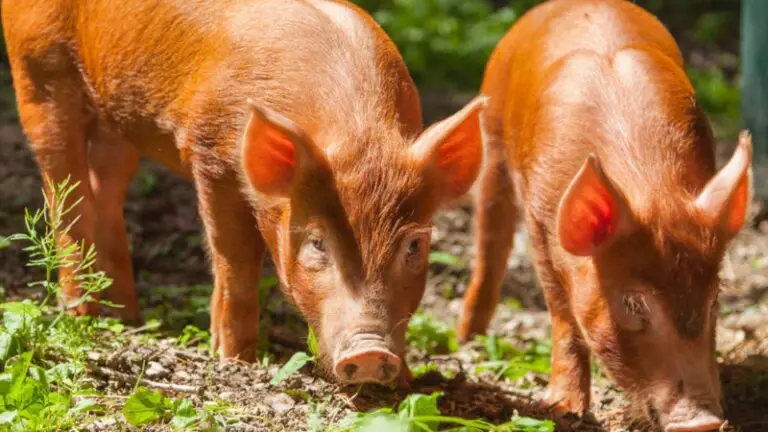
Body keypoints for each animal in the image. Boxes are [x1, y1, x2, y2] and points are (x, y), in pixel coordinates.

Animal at [2, 0, 487, 385]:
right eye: (317, 242)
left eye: (415, 245)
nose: (370, 353)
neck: (355, 131)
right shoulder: (210, 154)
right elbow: (235, 259)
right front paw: (235, 360)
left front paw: (407, 382)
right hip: (37, 63)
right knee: (64, 187)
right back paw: (81, 312)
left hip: (117, 110)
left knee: (105, 189)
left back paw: (125, 314)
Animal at [456, 0, 752, 430]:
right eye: (632, 304)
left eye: (713, 300)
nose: (702, 422)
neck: (646, 186)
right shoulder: (540, 221)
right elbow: (562, 313)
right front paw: (563, 408)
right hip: (492, 134)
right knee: (489, 241)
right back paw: (466, 338)